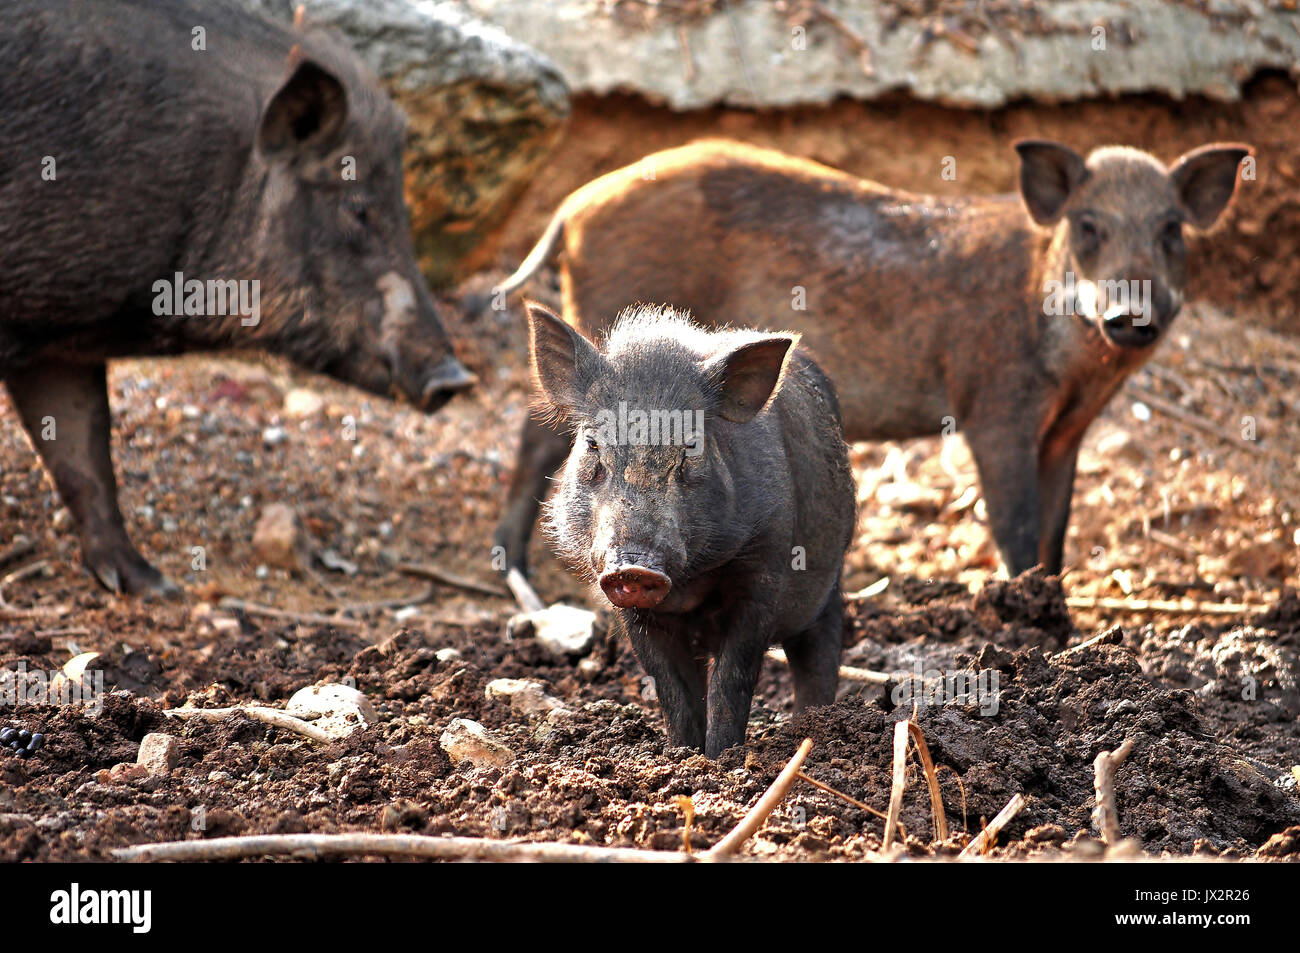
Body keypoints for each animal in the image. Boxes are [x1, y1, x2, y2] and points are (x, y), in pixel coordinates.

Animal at [493, 139, 1251, 580]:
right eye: (1089, 226)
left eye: (1171, 230)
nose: (1132, 316)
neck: (1076, 368)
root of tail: (576, 203)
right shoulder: (992, 409)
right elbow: (1017, 527)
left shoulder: (1068, 431)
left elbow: (1057, 533)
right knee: (537, 433)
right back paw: (516, 572)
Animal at [527, 301, 855, 757]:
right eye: (593, 444)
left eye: (691, 446)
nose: (634, 567)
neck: (689, 584)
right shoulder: (630, 610)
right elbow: (672, 689)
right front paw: (681, 756)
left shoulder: (765, 570)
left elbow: (732, 678)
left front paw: (722, 760)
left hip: (831, 579)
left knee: (819, 652)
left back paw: (811, 727)